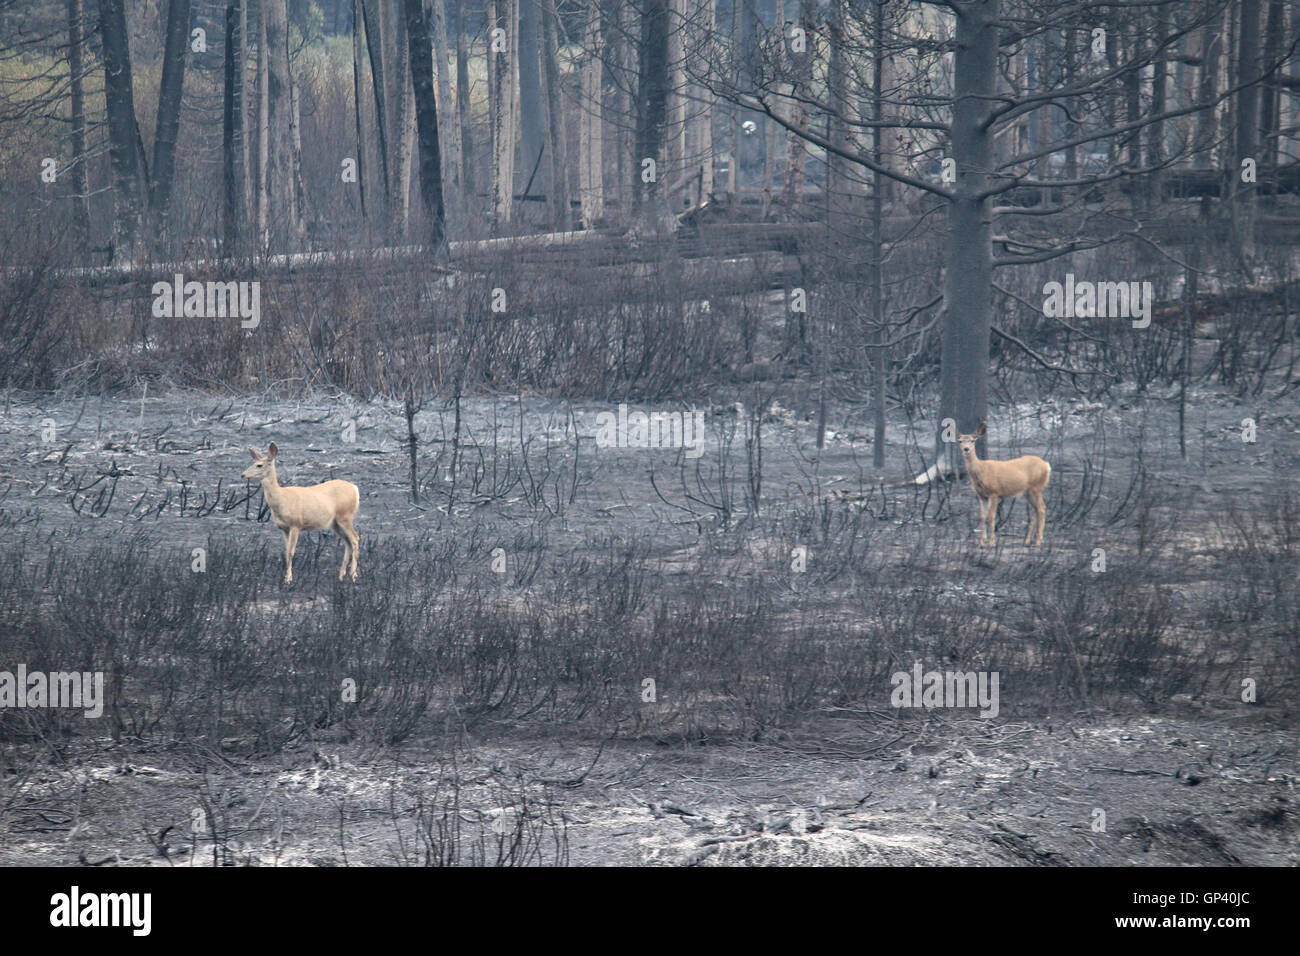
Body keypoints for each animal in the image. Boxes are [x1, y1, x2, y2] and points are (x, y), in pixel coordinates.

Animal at [241, 443, 360, 583]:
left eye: (259, 465)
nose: (243, 475)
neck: (282, 500)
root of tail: (355, 489)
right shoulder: (284, 528)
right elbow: (286, 551)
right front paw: (286, 577)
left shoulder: (296, 524)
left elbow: (291, 551)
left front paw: (288, 579)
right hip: (335, 523)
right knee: (348, 542)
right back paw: (341, 576)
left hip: (345, 516)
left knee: (355, 539)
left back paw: (353, 575)